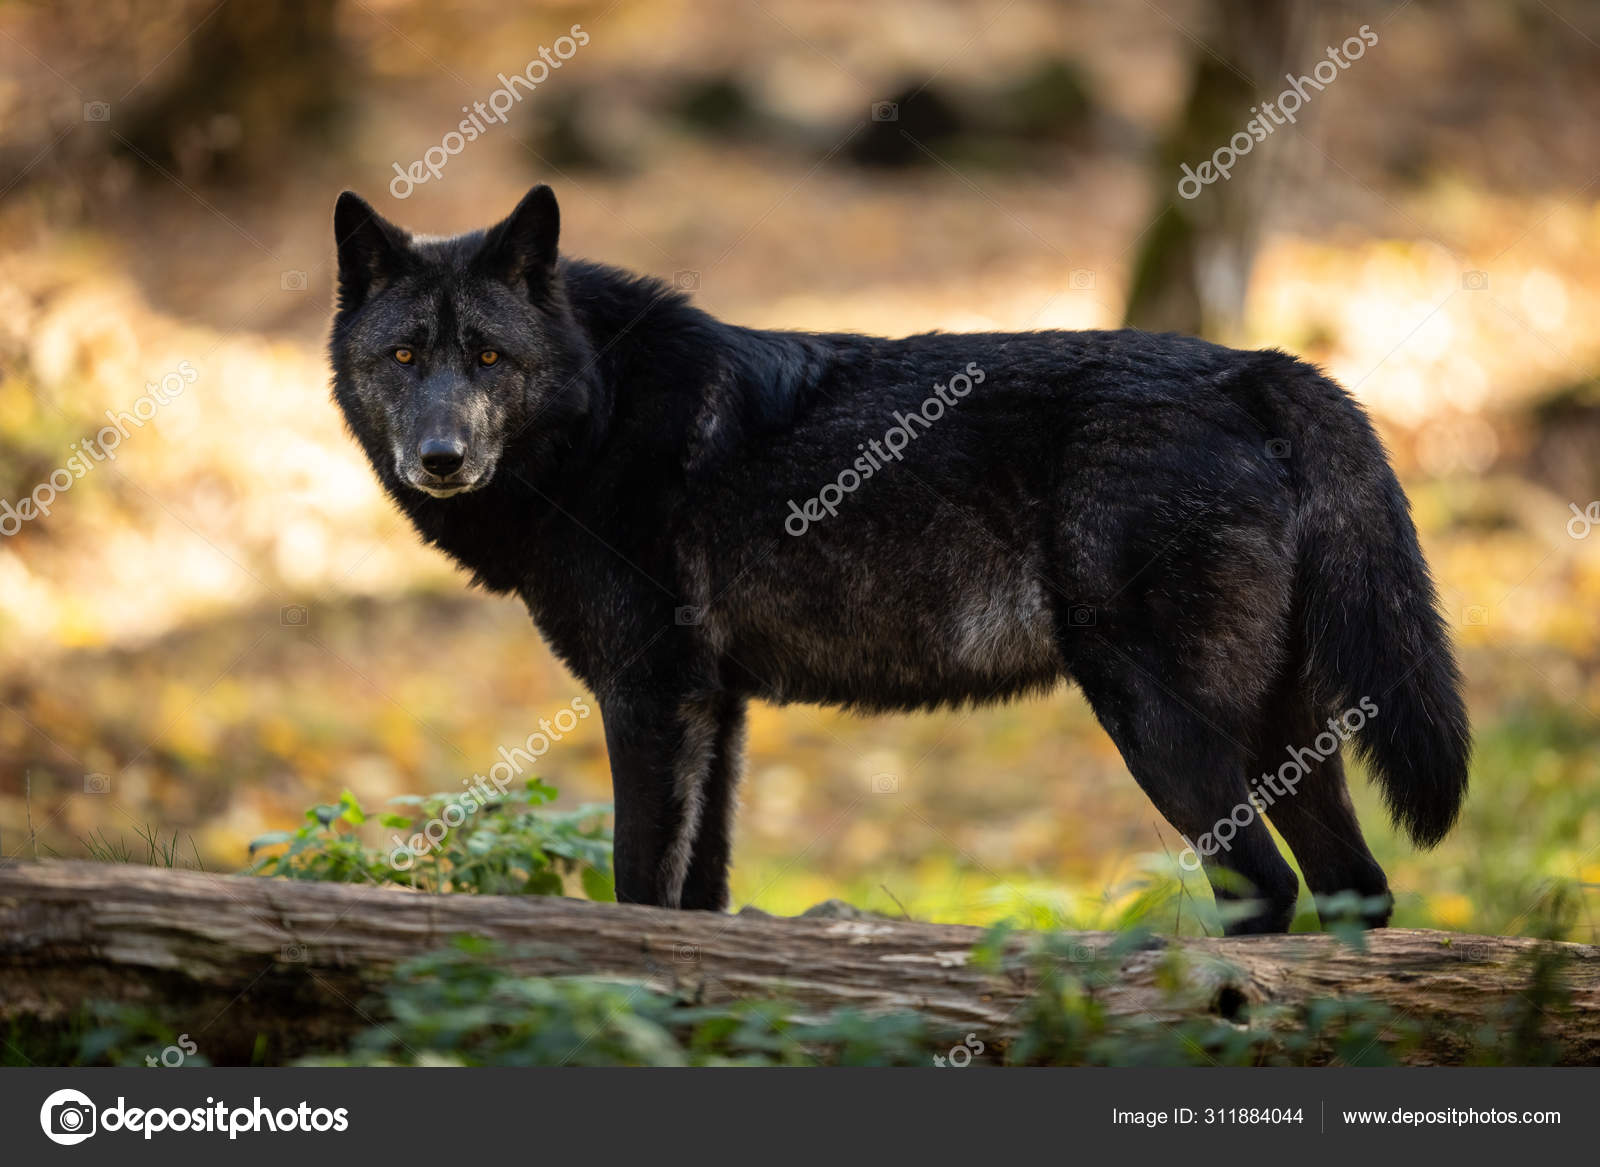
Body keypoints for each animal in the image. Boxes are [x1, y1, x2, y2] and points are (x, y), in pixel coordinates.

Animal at [328, 184, 1470, 935]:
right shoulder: (717, 707)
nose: (440, 457)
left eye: (488, 356)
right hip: (1283, 738)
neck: (598, 415)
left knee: (1265, 888)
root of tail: (1256, 369)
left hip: (1156, 723)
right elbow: (703, 893)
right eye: (402, 356)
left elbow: (639, 883)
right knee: (1357, 888)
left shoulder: (646, 696)